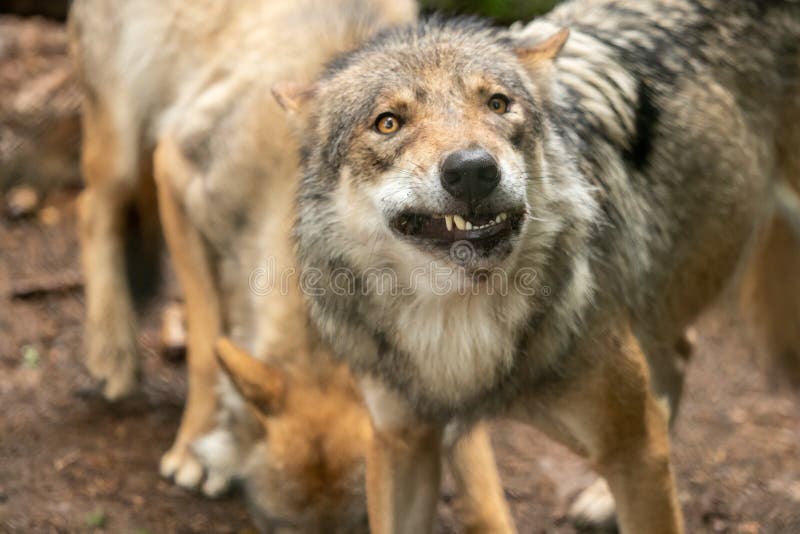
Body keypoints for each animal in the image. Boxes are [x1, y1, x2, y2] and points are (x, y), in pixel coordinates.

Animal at [69, 0, 516, 532]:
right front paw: (196, 446)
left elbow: (481, 475)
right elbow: (205, 344)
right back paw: (111, 353)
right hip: (123, 141)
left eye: (356, 529)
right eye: (275, 530)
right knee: (91, 208)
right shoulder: (175, 174)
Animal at [283, 0, 800, 532]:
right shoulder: (402, 441)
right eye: (388, 122)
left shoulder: (634, 448)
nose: (473, 170)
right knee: (679, 352)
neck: (459, 330)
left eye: (497, 104)